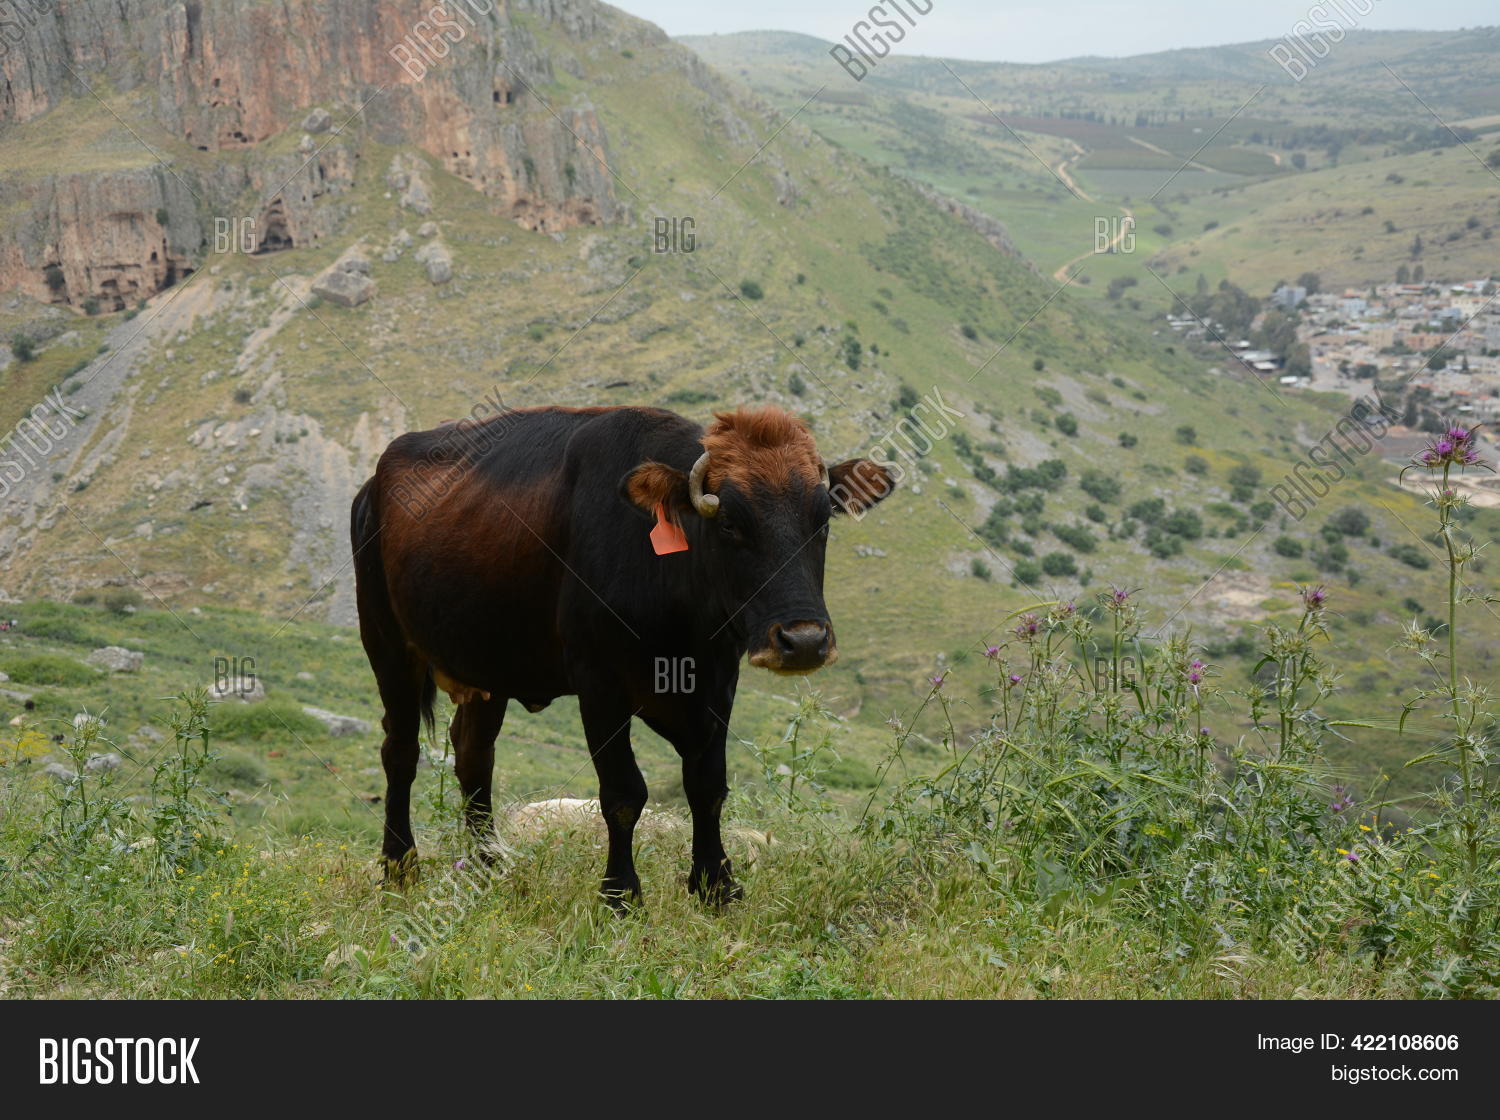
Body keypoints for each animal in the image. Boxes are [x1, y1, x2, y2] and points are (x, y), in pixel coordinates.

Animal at [351, 404, 894, 907]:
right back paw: (399, 867)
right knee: (400, 751)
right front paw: (621, 894)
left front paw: (716, 885)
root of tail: (373, 484)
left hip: (489, 662)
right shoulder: (598, 681)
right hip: (386, 641)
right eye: (730, 525)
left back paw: (487, 866)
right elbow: (624, 792)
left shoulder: (717, 678)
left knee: (472, 755)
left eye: (822, 522)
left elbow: (708, 785)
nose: (804, 641)